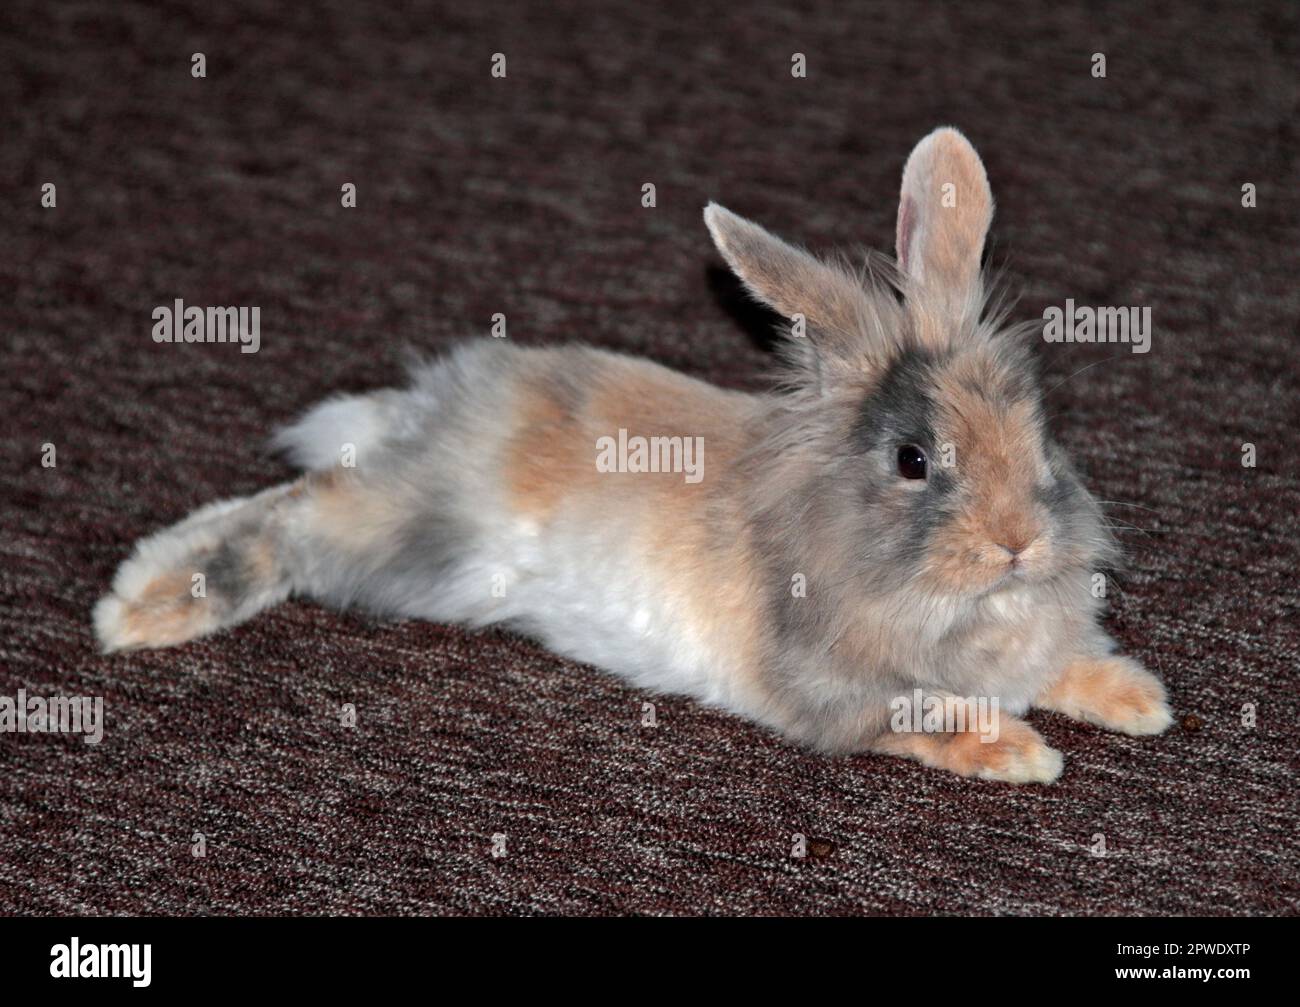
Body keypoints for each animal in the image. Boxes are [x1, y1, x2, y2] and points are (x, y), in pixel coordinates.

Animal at [94, 127, 1172, 783]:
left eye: (1036, 428)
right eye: (913, 459)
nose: (1019, 542)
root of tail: (432, 408)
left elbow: (1061, 661)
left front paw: (1139, 701)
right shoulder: (838, 694)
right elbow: (929, 713)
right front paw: (1024, 751)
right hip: (414, 544)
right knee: (289, 515)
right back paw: (142, 603)